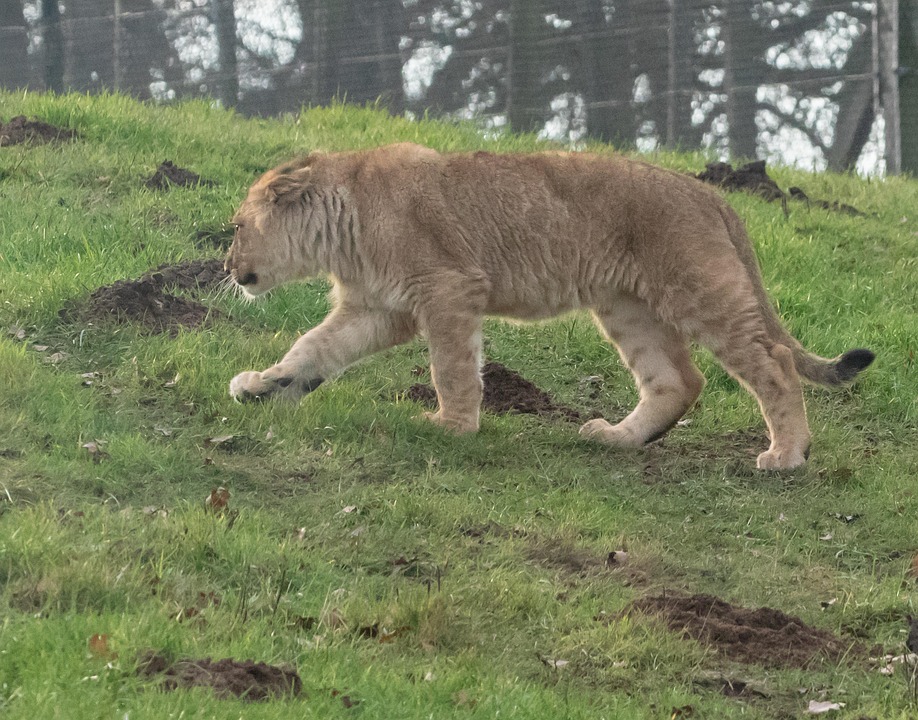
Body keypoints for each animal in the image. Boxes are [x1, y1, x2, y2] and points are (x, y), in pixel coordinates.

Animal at [224, 143, 873, 470]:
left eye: (236, 226)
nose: (228, 267)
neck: (344, 221)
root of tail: (711, 195)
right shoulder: (380, 308)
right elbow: (314, 347)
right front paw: (264, 386)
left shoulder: (449, 288)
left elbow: (452, 367)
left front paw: (452, 427)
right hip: (628, 307)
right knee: (678, 381)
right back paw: (619, 439)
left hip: (700, 292)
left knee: (774, 365)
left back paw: (788, 455)